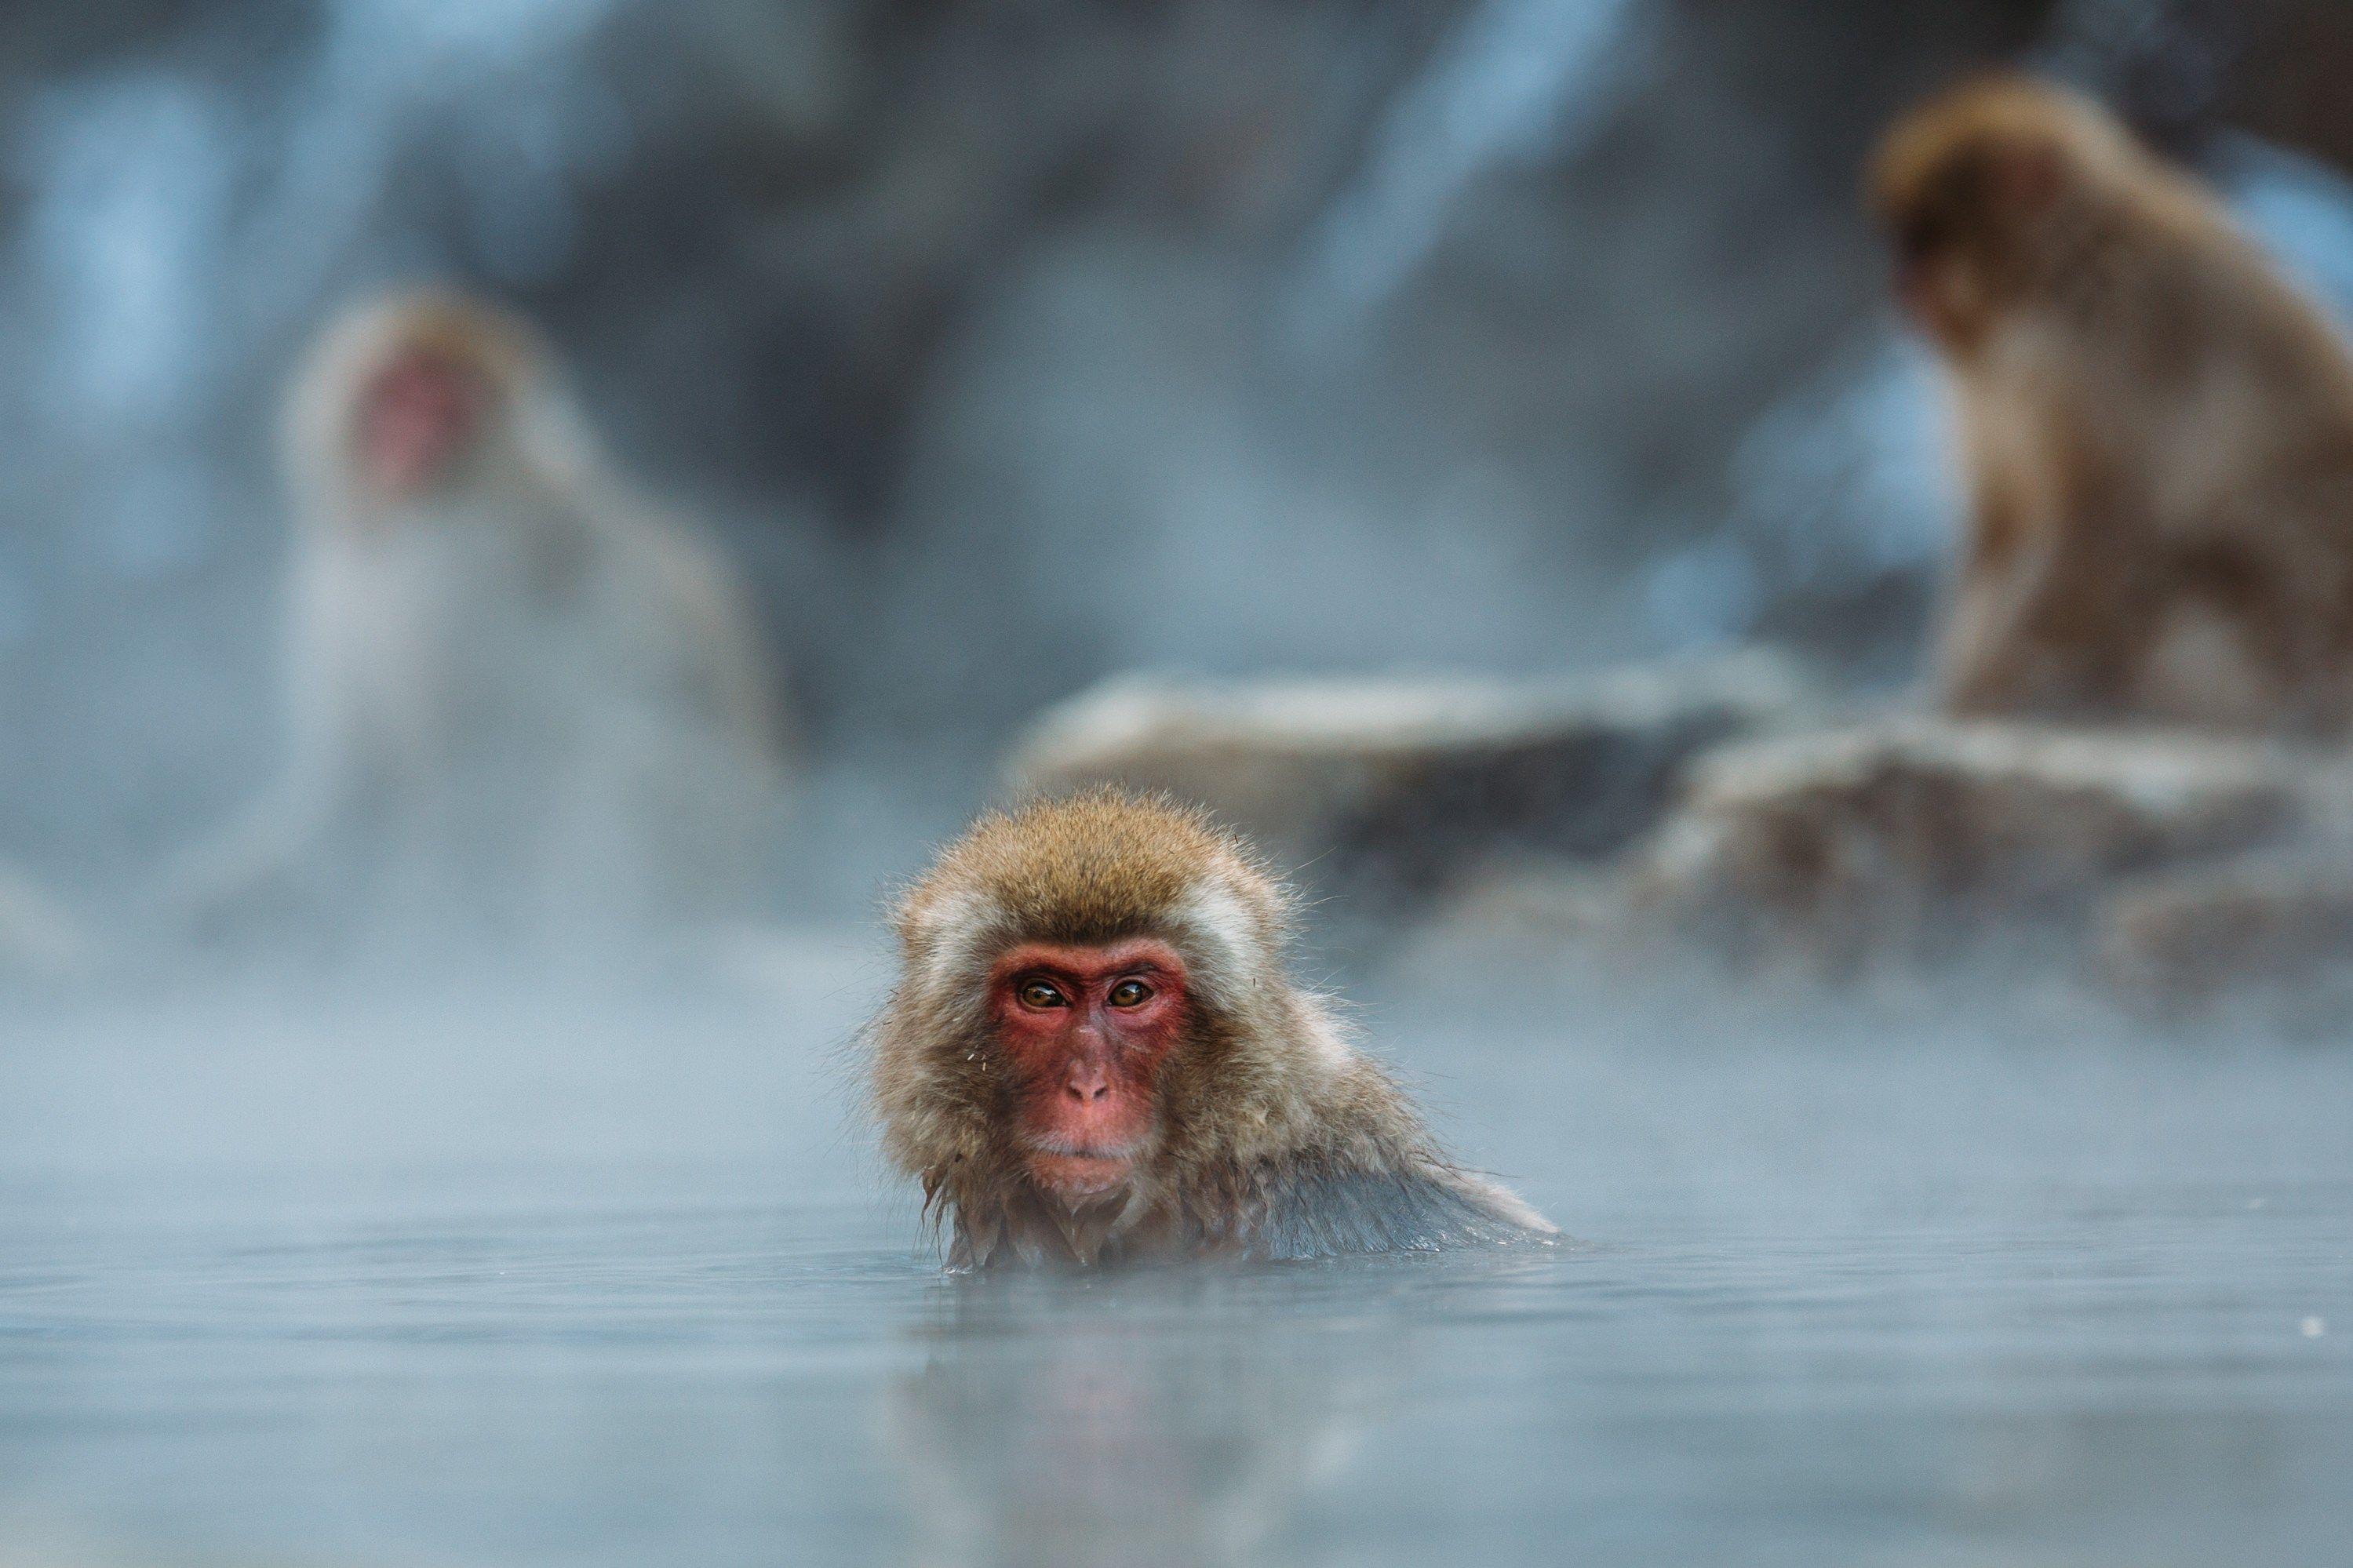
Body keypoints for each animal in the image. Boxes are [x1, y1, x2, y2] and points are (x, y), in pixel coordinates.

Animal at [166, 289, 788, 952]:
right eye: (396, 390)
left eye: (447, 410)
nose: (406, 443)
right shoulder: (331, 583)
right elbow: (353, 786)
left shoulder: (458, 578)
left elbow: (470, 768)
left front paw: (424, 922)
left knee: (616, 753)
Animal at [1871, 75, 2353, 734]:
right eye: (1904, 239)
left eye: (1926, 237)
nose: (1899, 282)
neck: (2055, 277)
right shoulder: (1986, 389)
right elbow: (2000, 526)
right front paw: (1957, 686)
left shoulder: (2114, 351)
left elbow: (2104, 524)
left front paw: (1982, 694)